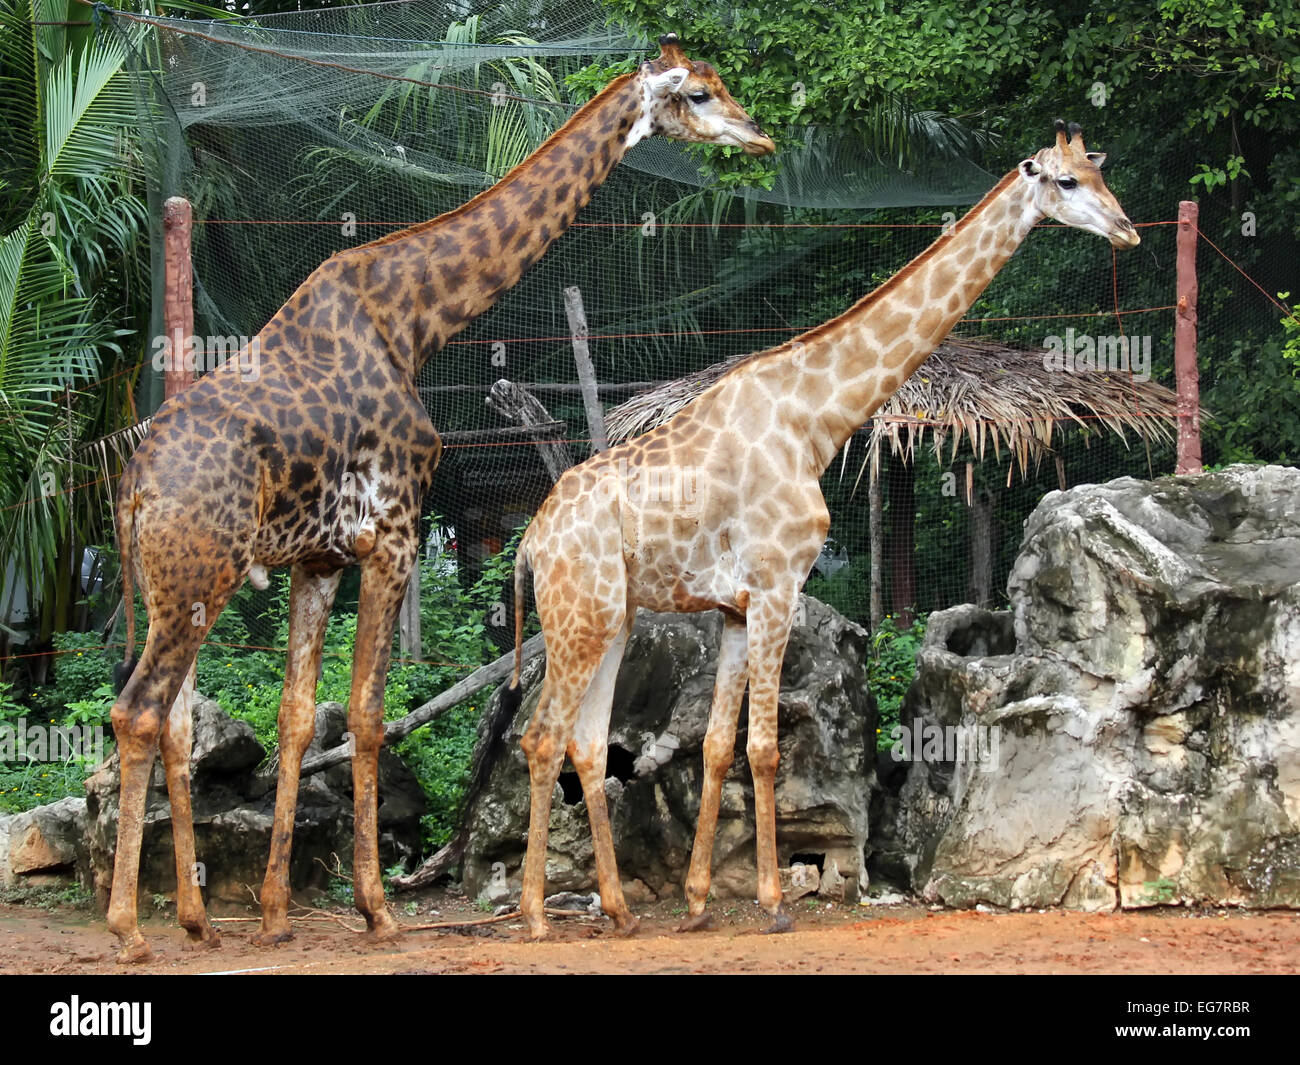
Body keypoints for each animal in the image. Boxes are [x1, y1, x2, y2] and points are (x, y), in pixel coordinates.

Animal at [105, 35, 773, 964]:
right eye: (702, 94)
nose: (761, 136)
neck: (414, 319)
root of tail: (133, 486)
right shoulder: (391, 534)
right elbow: (369, 712)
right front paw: (376, 908)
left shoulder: (319, 559)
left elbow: (297, 716)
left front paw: (275, 911)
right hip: (197, 579)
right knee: (136, 713)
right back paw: (129, 928)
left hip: (179, 585)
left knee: (169, 719)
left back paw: (198, 917)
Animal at [501, 120, 1139, 938]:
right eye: (1064, 181)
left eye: (1100, 172)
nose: (1126, 229)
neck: (814, 420)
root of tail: (530, 543)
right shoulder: (777, 585)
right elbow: (766, 747)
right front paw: (773, 900)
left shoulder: (735, 607)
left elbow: (718, 746)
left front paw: (699, 900)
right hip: (578, 615)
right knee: (540, 737)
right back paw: (535, 914)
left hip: (611, 618)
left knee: (583, 741)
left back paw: (616, 907)